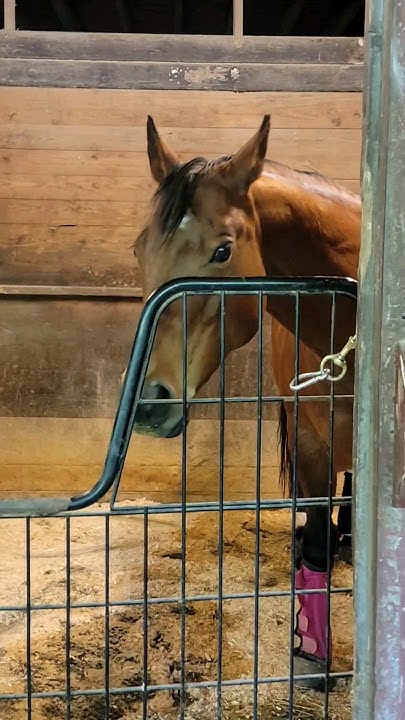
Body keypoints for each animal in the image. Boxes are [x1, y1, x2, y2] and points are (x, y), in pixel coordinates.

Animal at [130, 115, 361, 690]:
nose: (147, 403)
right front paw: (311, 652)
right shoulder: (310, 441)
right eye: (140, 249)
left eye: (222, 250)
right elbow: (316, 543)